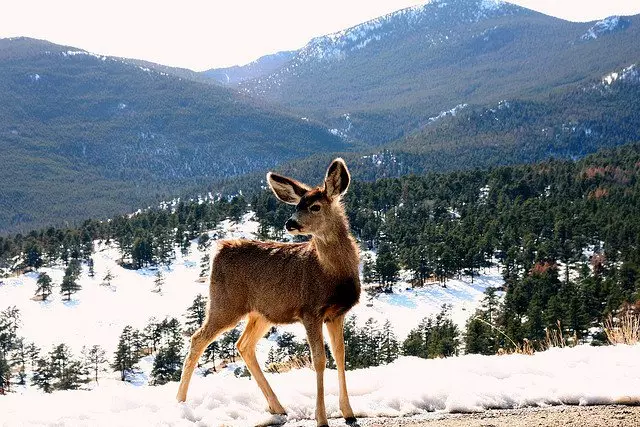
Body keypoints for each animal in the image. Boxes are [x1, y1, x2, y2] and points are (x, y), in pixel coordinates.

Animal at [178, 159, 362, 427]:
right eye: (297, 205)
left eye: (315, 206)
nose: (290, 223)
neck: (332, 273)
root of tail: (218, 250)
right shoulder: (310, 310)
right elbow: (319, 360)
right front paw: (321, 418)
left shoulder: (337, 313)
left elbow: (340, 356)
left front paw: (349, 412)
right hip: (225, 303)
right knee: (198, 339)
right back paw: (179, 403)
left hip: (262, 313)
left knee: (243, 344)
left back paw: (278, 407)